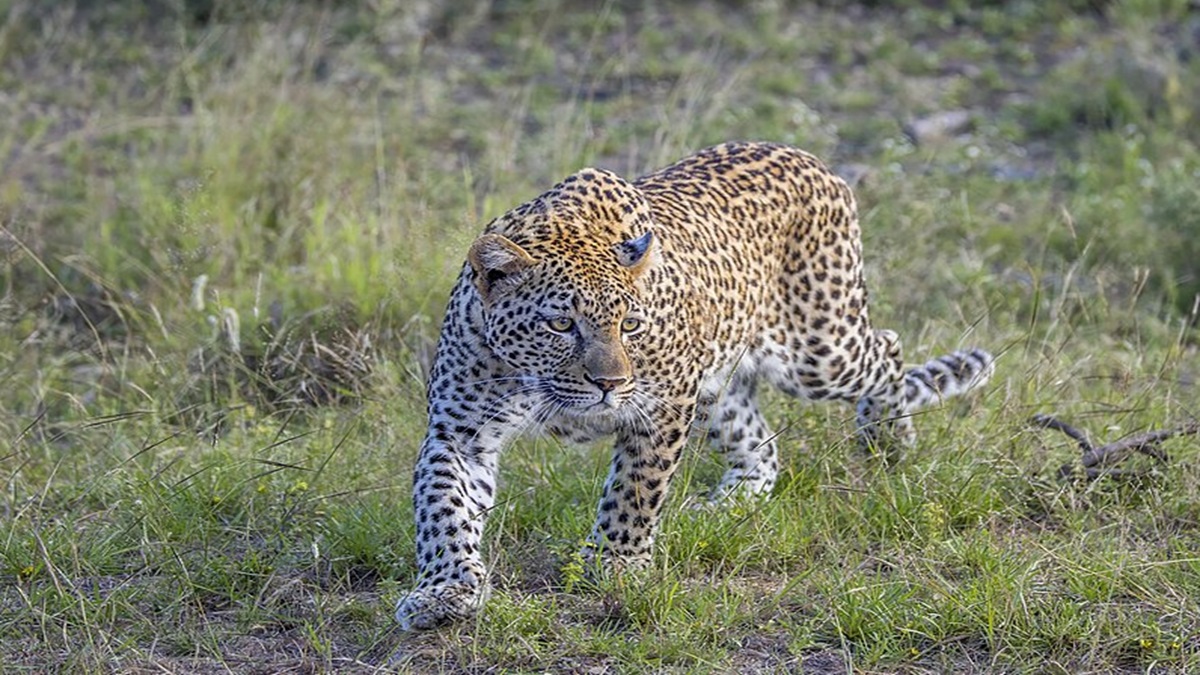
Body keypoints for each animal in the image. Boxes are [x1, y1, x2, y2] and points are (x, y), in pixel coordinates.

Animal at [395, 141, 994, 630]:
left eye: (631, 325)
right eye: (561, 324)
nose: (610, 383)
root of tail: (812, 159)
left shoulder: (660, 407)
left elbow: (633, 492)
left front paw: (614, 565)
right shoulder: (460, 432)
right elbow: (443, 509)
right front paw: (445, 591)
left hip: (819, 351)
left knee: (887, 346)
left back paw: (888, 443)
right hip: (719, 385)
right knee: (762, 448)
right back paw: (724, 506)